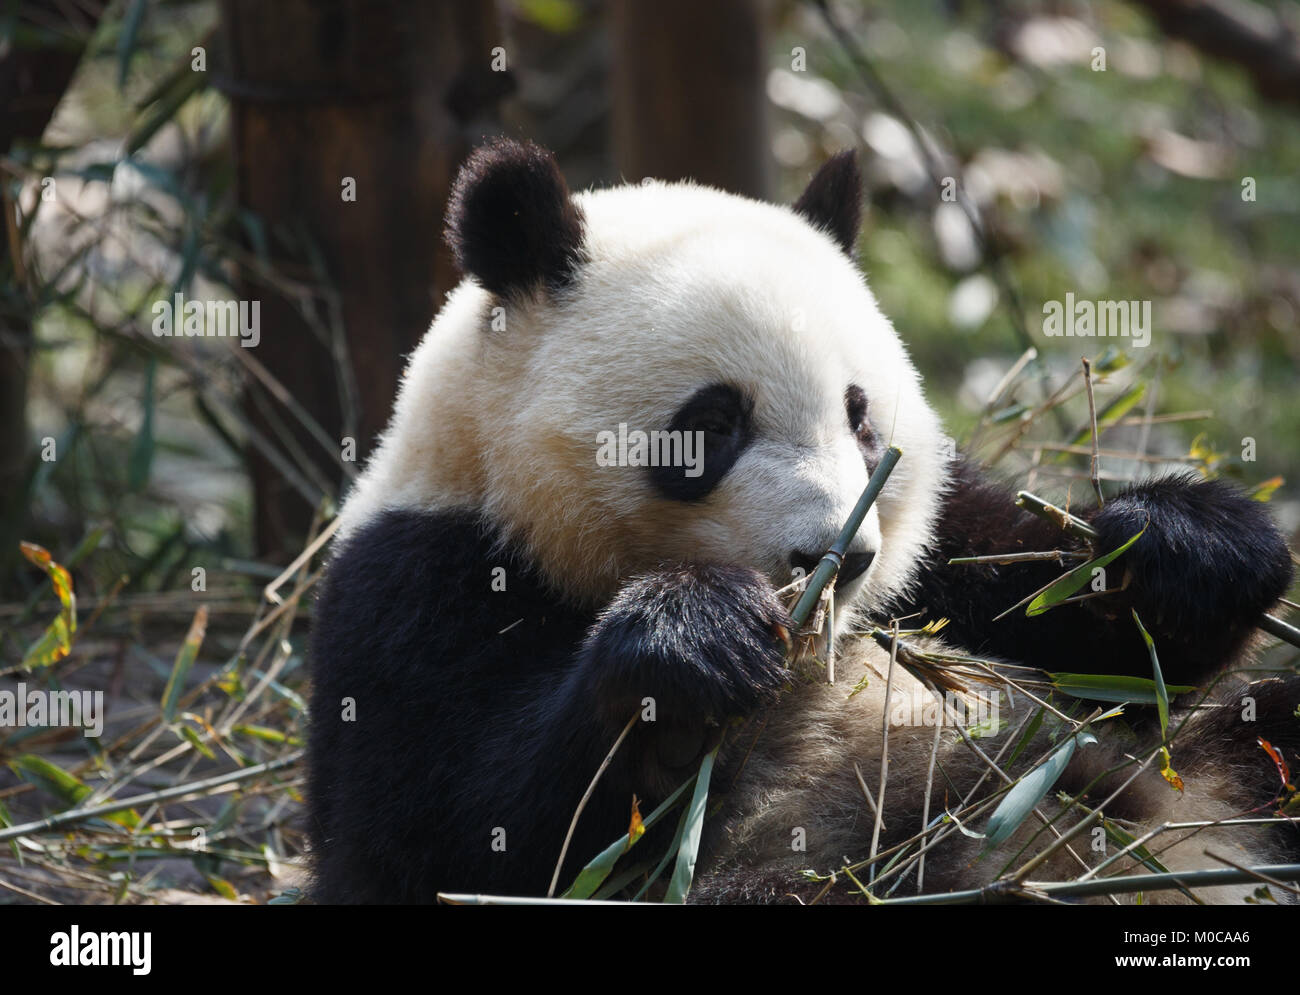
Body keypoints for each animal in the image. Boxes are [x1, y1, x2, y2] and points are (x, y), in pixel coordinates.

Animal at [306, 139, 1298, 905]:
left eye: (860, 417)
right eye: (711, 424)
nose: (838, 558)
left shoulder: (940, 568)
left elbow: (1091, 639)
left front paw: (1179, 549)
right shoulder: (416, 584)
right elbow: (445, 840)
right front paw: (695, 644)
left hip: (1222, 771)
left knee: (1266, 725)